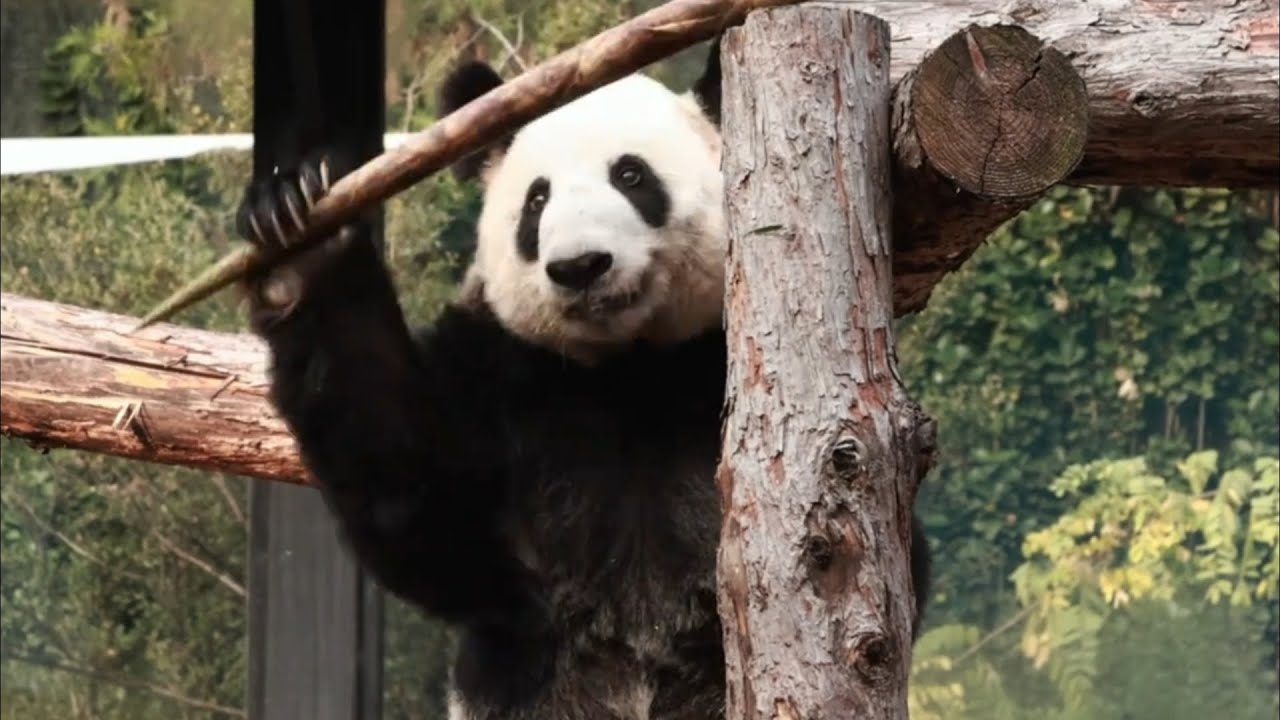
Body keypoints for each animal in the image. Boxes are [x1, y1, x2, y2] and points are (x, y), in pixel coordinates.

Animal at [235, 39, 930, 720]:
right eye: (536, 201)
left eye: (631, 176)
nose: (580, 266)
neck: (623, 367)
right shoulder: (503, 375)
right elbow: (412, 489)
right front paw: (299, 236)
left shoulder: (711, 360)